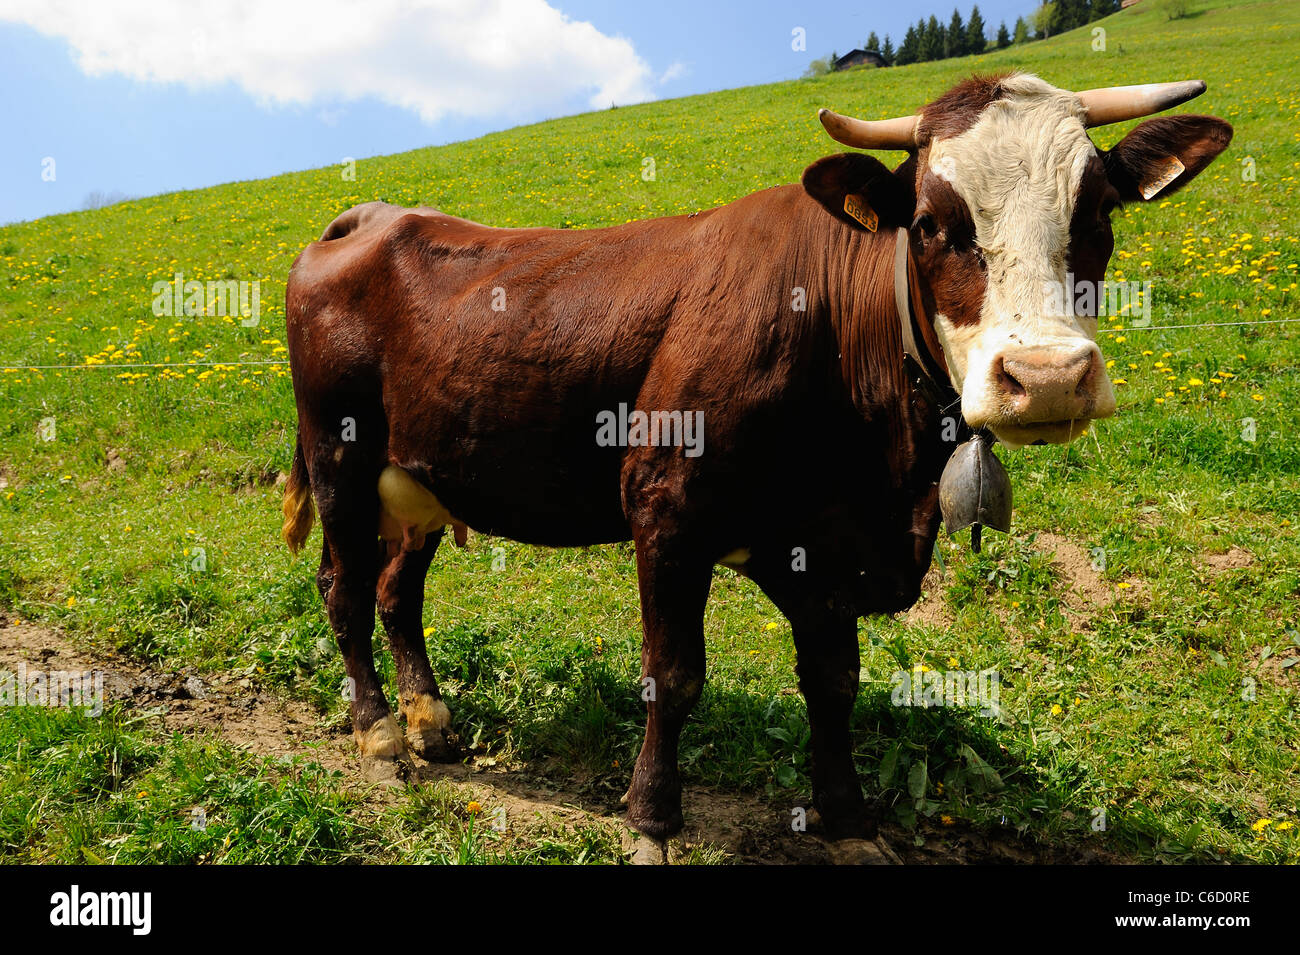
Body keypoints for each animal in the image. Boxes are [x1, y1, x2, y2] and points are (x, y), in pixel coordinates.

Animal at [281, 73, 1231, 844]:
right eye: (930, 223)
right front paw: (652, 819)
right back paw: (378, 727)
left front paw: (848, 816)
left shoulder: (827, 539)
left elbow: (835, 681)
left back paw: (431, 717)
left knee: (399, 590)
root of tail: (376, 214)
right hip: (340, 456)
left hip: (423, 476)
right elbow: (674, 677)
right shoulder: (666, 507)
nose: (1049, 378)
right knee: (344, 586)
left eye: (1098, 214)